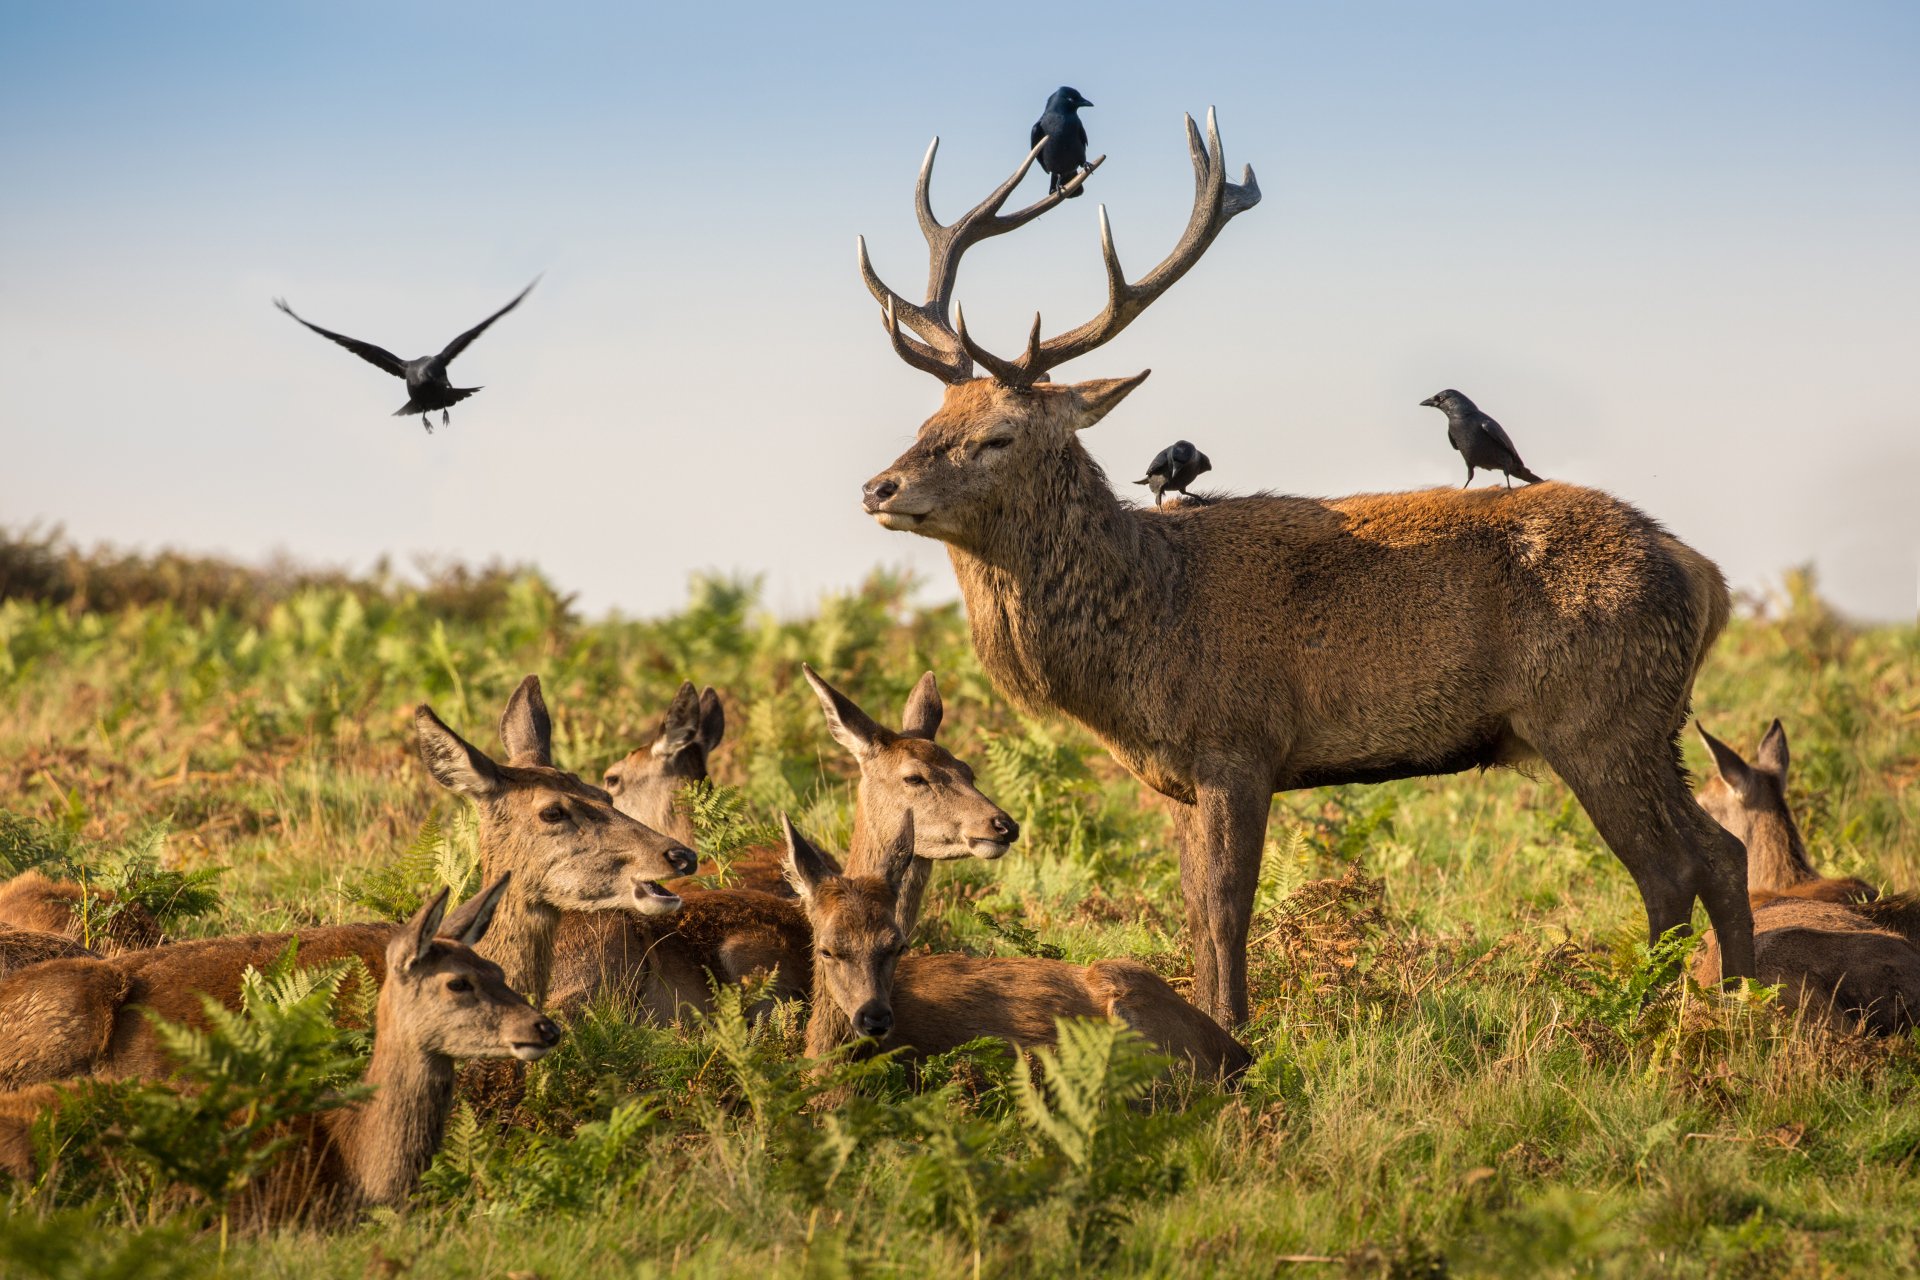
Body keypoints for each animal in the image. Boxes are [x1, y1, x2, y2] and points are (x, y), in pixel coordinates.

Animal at [851, 106, 1754, 1024]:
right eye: (930, 419)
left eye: (997, 435)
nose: (878, 486)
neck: (1142, 634)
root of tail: (1702, 575)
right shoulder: (1177, 779)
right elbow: (1192, 909)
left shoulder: (1240, 741)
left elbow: (1225, 908)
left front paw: (1234, 1033)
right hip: (1650, 719)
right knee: (1722, 850)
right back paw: (1746, 1000)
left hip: (1599, 714)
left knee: (1671, 866)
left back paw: (1655, 1013)